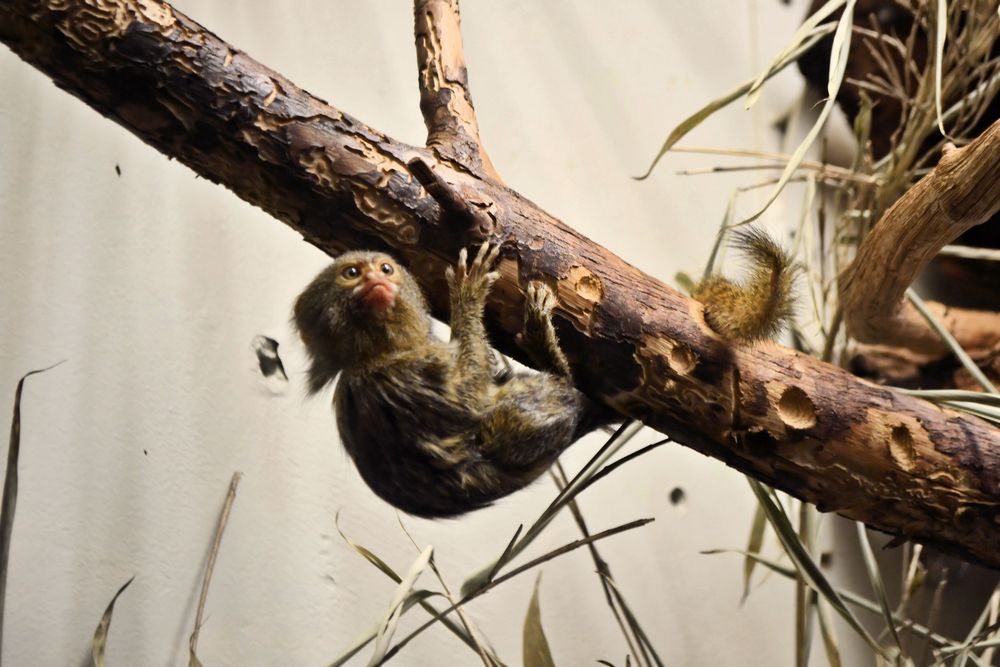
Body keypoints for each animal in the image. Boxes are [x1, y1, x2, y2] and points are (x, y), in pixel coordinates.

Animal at [293, 243, 613, 518]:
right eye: (352, 274)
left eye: (385, 269)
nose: (375, 279)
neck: (373, 355)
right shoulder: (410, 373)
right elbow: (468, 397)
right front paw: (468, 294)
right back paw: (541, 339)